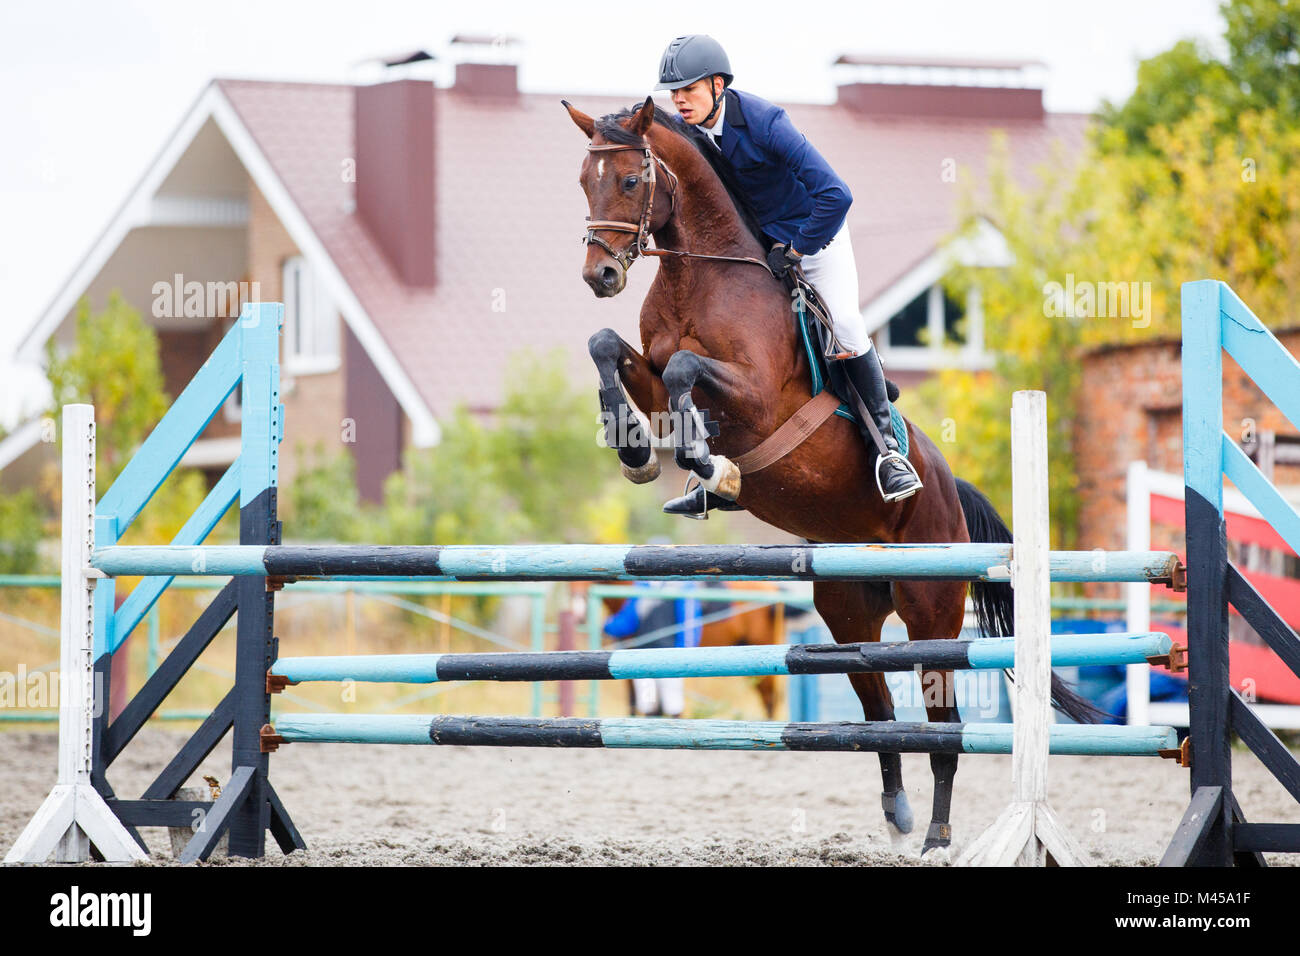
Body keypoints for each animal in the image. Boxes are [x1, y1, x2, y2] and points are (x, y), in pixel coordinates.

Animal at [564, 95, 1100, 856]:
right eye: (585, 181)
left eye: (632, 181)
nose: (600, 276)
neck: (701, 273)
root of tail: (950, 494)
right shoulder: (647, 364)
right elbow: (608, 346)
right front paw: (642, 453)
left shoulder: (757, 397)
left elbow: (686, 370)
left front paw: (707, 463)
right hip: (849, 613)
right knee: (879, 712)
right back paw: (898, 813)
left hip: (931, 609)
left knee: (943, 726)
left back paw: (937, 835)